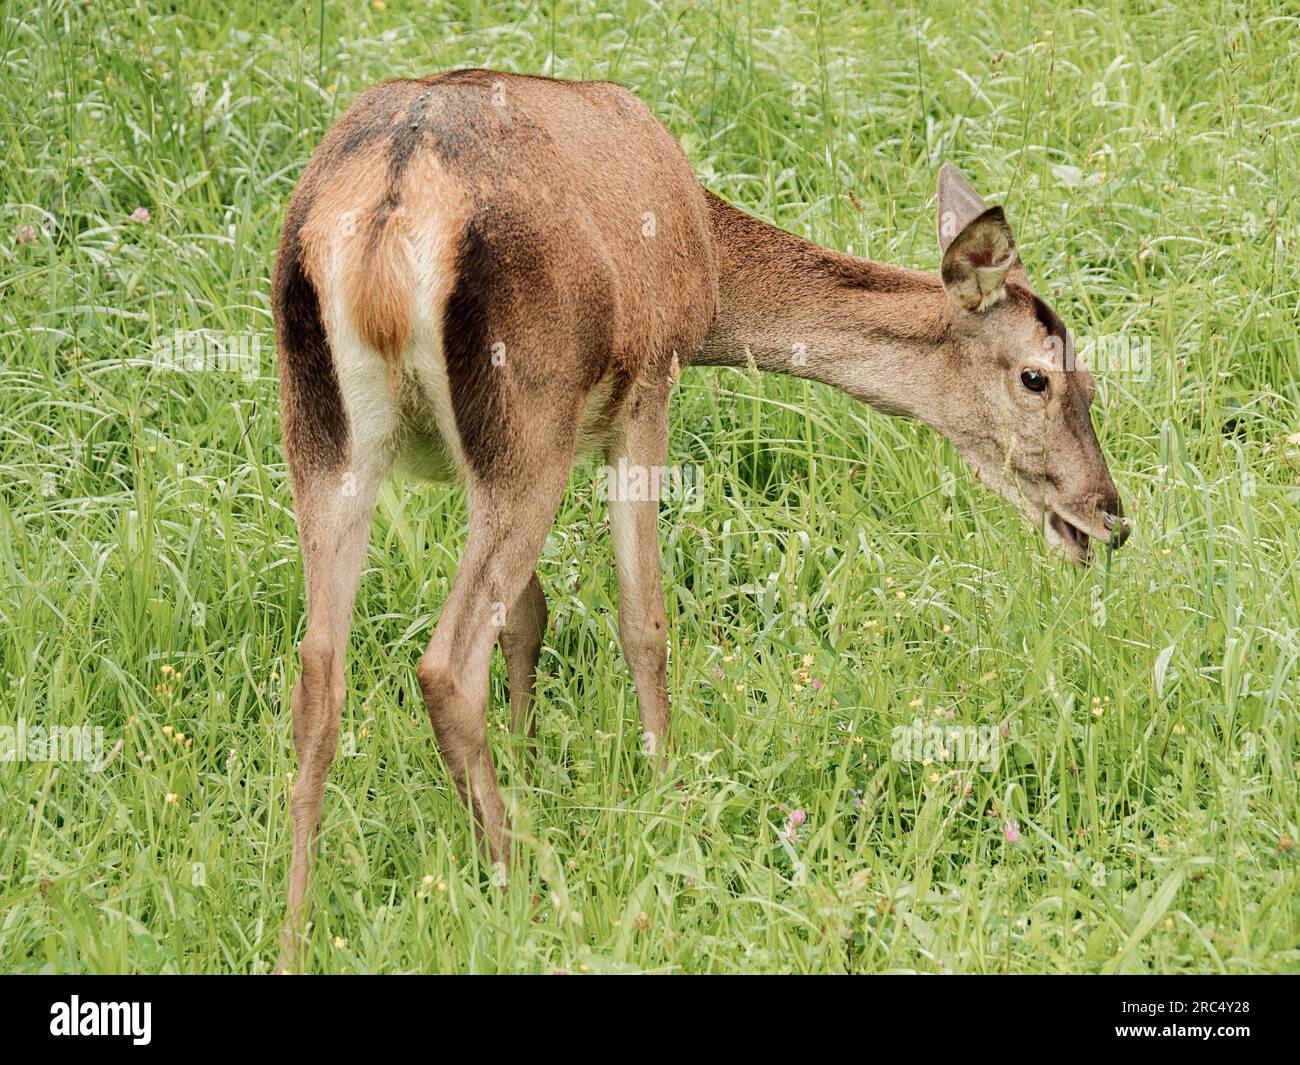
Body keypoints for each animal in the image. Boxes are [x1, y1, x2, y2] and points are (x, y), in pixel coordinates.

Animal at [271, 69, 1129, 966]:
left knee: (319, 670)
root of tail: (391, 205)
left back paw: (297, 929)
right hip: (527, 418)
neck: (711, 266)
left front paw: (535, 772)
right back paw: (521, 897)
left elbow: (531, 613)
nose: (1109, 517)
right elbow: (643, 617)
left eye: (1089, 378)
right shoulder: (649, 381)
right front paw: (667, 800)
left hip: (324, 429)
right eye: (1040, 376)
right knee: (443, 664)